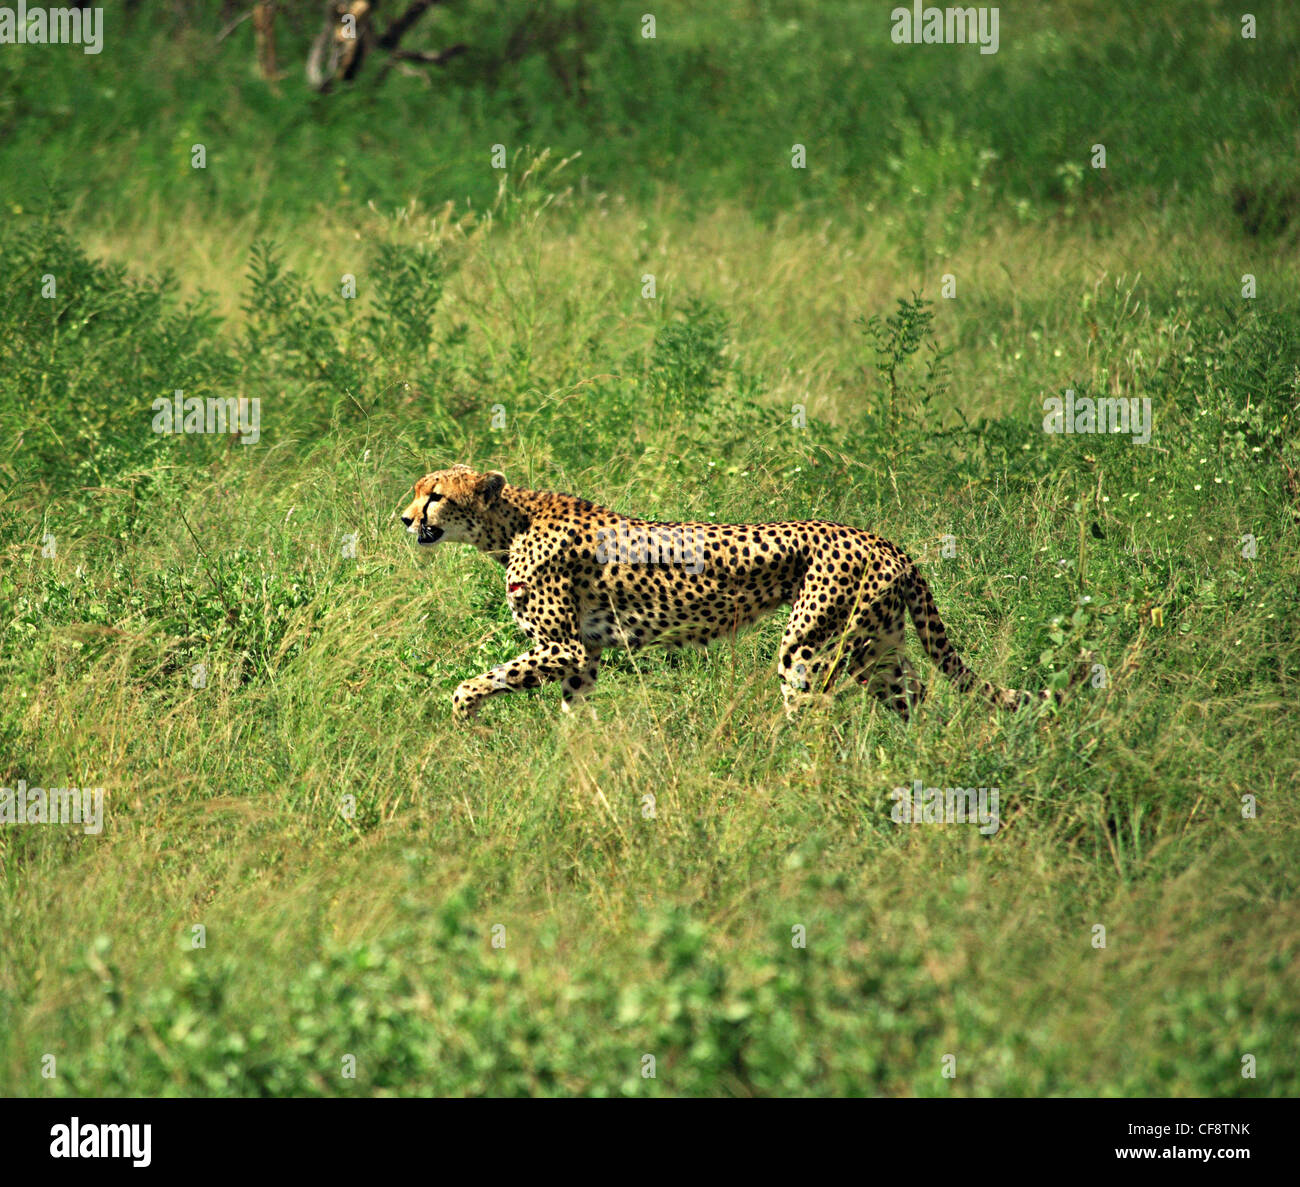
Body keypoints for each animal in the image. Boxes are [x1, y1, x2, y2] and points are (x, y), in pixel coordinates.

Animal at [400, 464, 1069, 722]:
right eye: (418, 491)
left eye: (435, 494)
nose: (404, 519)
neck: (509, 524)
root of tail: (885, 541)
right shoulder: (583, 656)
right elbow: (575, 713)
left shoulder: (562, 646)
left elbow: (473, 682)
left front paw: (465, 719)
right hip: (877, 643)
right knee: (914, 693)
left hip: (811, 646)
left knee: (814, 710)